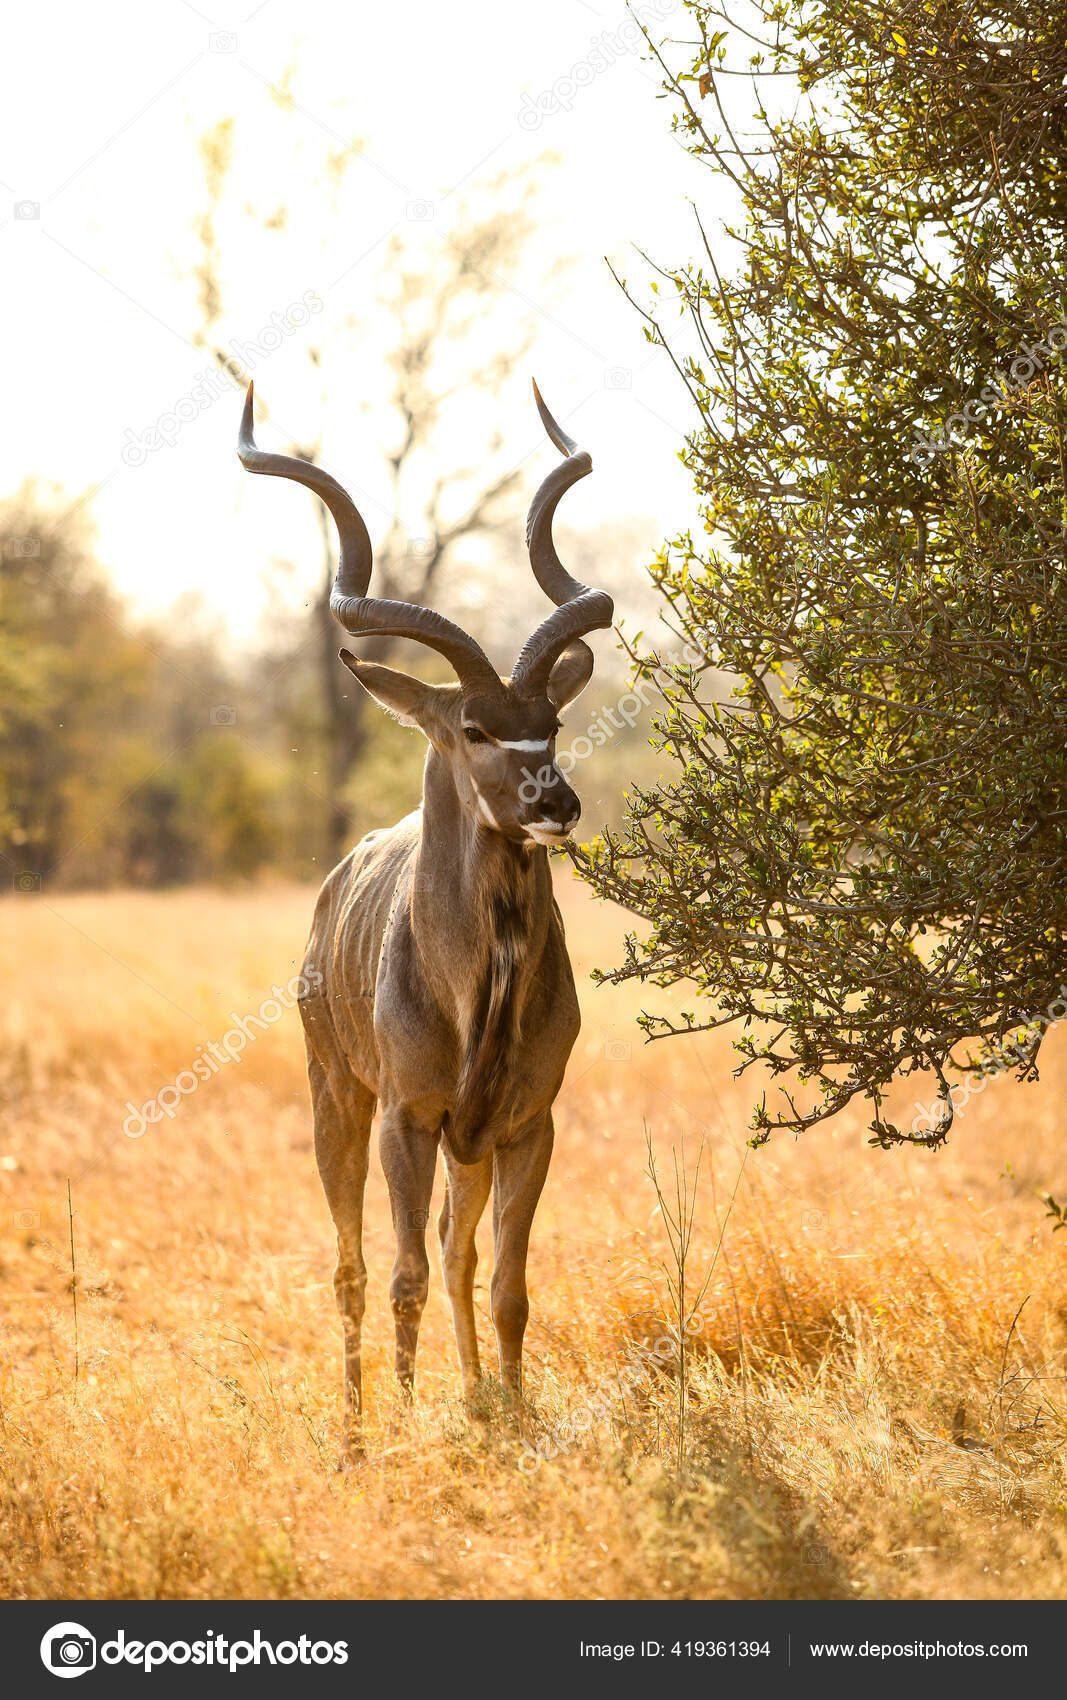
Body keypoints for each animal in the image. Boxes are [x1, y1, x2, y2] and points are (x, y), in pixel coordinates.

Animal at [238, 379, 613, 1453]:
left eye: (552, 721)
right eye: (475, 728)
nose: (555, 804)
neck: (470, 986)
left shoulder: (523, 1125)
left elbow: (504, 1282)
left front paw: (510, 1412)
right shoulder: (408, 1116)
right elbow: (401, 1271)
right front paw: (405, 1424)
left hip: (464, 1144)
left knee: (454, 1252)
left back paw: (477, 1399)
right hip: (337, 1101)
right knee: (355, 1267)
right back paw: (359, 1426)